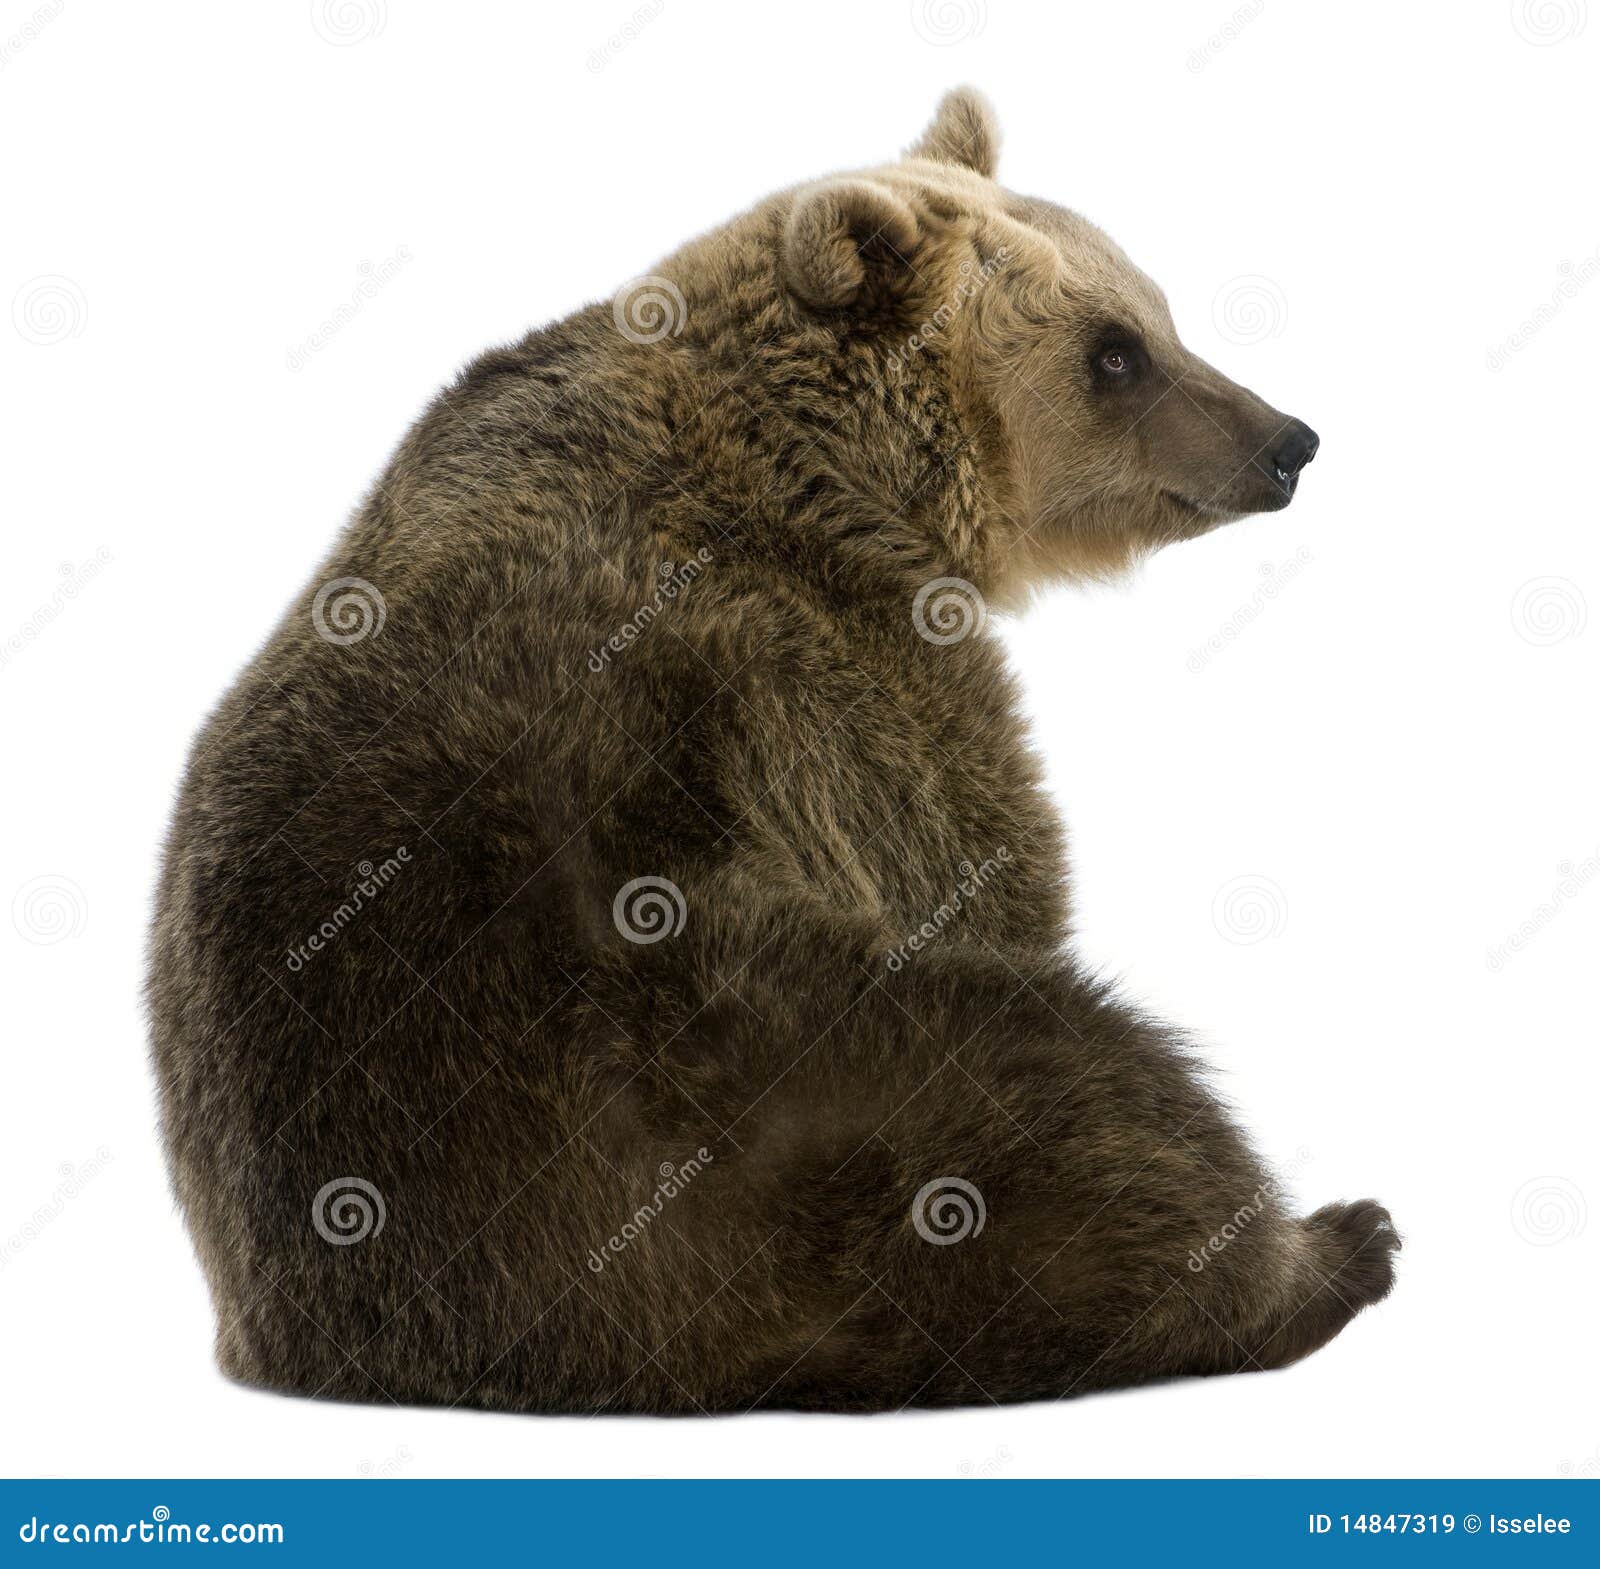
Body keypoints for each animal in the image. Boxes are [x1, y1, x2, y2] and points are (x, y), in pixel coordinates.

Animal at [147, 88, 1395, 1414]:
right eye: (1114, 353)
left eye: (1156, 309)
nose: (1287, 440)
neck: (846, 459)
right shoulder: (848, 670)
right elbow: (982, 855)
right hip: (736, 1054)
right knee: (1085, 1100)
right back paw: (1327, 1247)